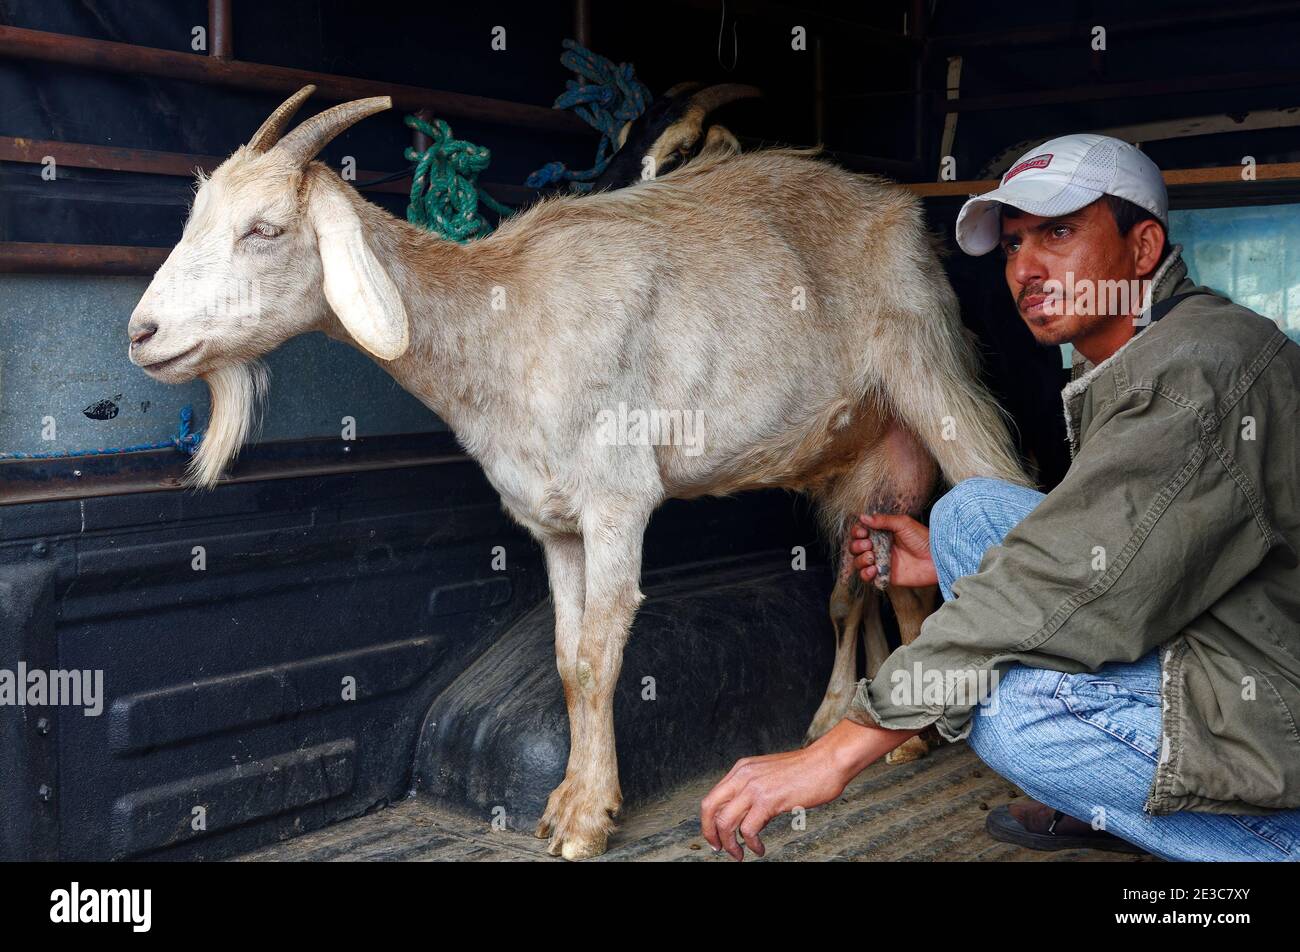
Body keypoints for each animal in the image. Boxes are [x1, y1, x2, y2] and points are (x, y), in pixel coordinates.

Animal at [127, 87, 1030, 859]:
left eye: (265, 230)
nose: (142, 333)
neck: (505, 321)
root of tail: (896, 208)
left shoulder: (617, 501)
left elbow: (601, 654)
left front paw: (587, 818)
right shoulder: (552, 522)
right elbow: (566, 661)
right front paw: (564, 800)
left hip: (930, 369)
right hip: (867, 467)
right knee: (879, 582)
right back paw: (885, 730)